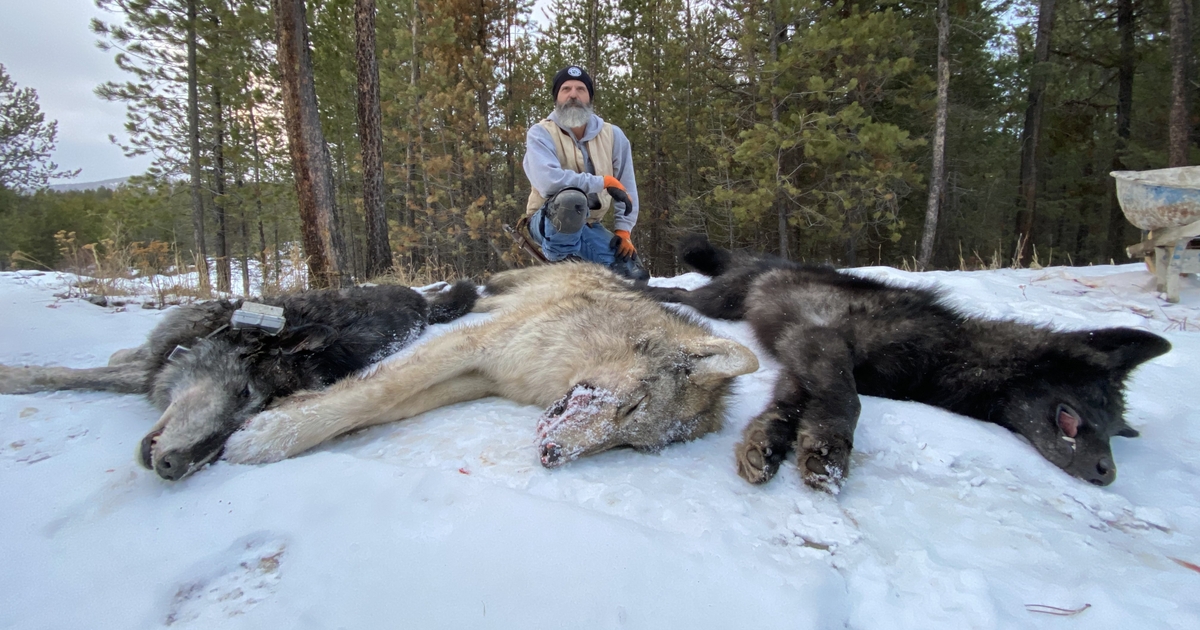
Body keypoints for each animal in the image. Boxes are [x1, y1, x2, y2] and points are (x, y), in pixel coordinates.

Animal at [0, 282, 477, 480]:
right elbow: (112, 365)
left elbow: (83, 374)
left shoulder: (155, 367)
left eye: (253, 411)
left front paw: (12, 376)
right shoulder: (159, 352)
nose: (176, 467)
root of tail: (420, 302)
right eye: (243, 391)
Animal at [220, 263, 759, 468]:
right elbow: (380, 391)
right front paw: (270, 436)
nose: (552, 457)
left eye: (629, 445)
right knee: (475, 294)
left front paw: (288, 414)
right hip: (496, 297)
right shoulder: (475, 346)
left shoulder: (482, 379)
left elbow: (390, 404)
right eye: (633, 407)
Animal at [643, 236, 1171, 490]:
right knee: (679, 294)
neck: (948, 351)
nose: (1108, 473)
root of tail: (763, 258)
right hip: (720, 302)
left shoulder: (801, 357)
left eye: (1119, 431)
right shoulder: (822, 339)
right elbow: (847, 400)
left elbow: (789, 407)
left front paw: (768, 445)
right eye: (1096, 401)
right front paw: (830, 453)